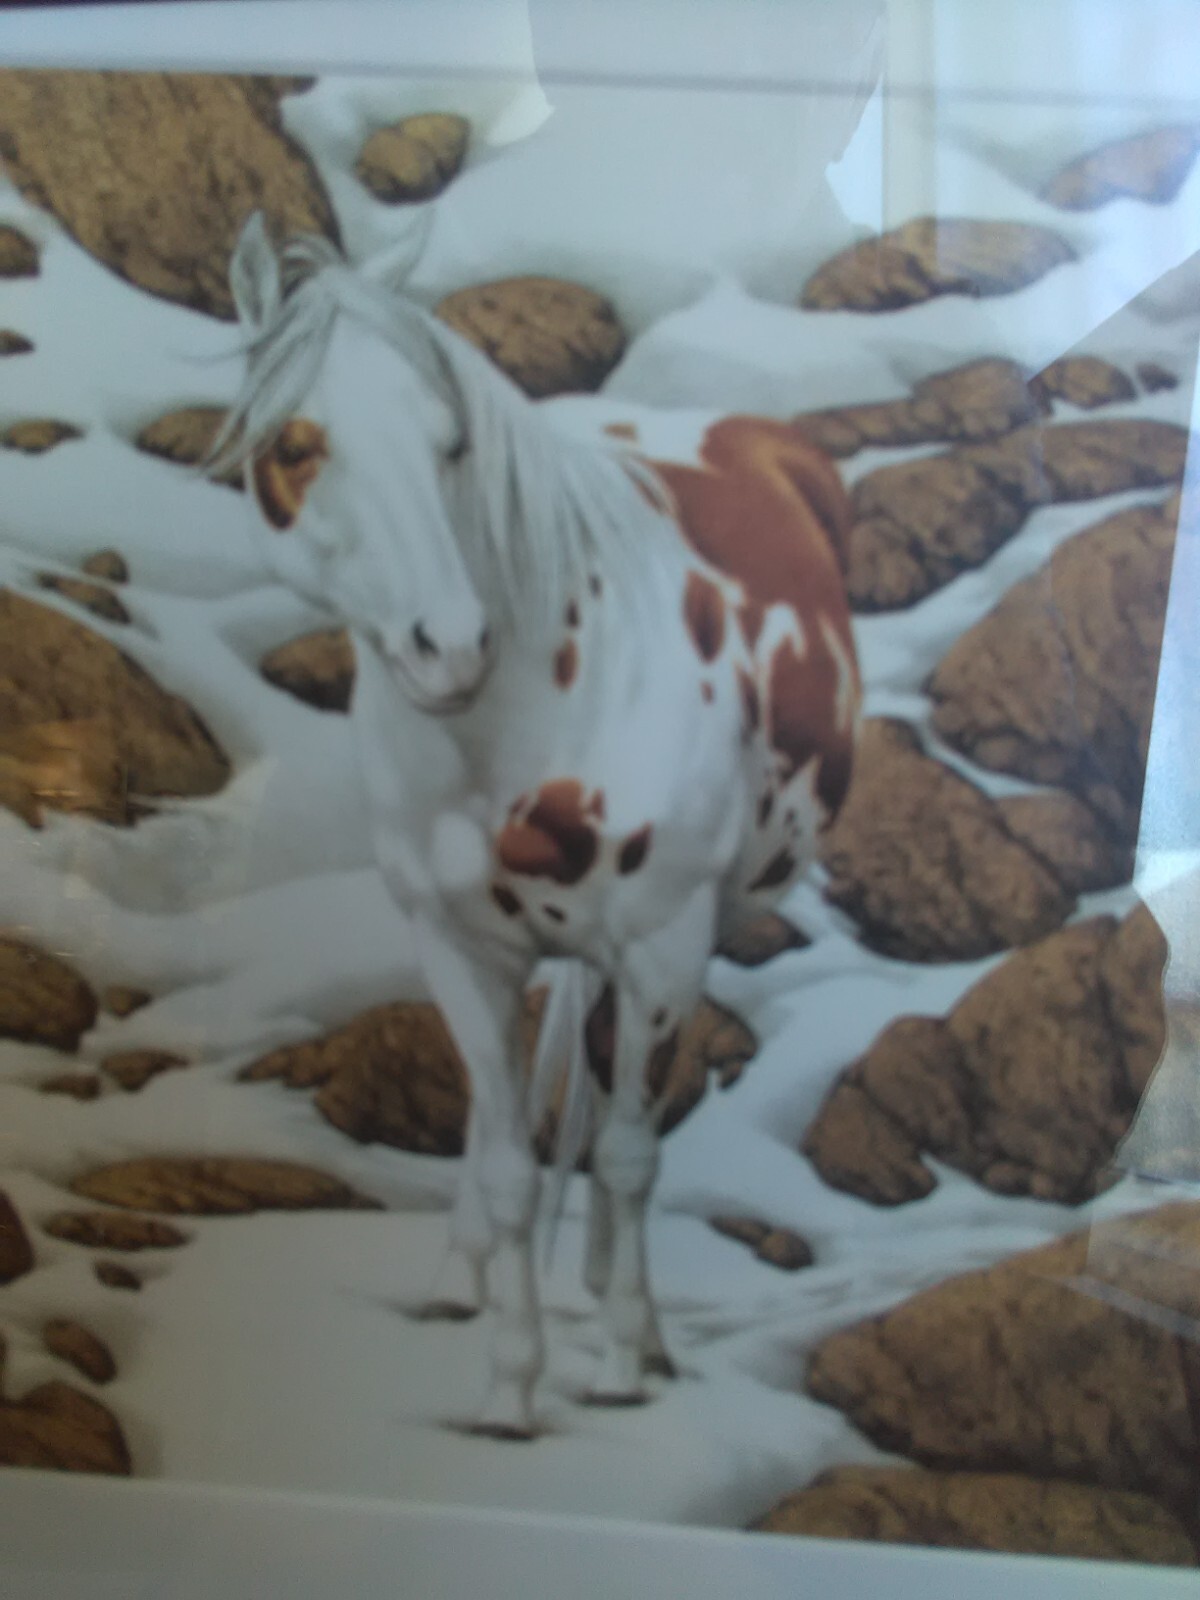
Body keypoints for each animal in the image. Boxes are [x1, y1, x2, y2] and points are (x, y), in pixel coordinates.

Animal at [214, 211, 861, 1438]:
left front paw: (615, 1358)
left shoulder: (663, 946)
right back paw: (468, 1284)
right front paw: (510, 1386)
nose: (450, 645)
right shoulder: (461, 946)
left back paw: (628, 1323)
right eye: (297, 443)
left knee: (614, 1107)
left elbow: (626, 1153)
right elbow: (513, 1160)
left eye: (450, 442)